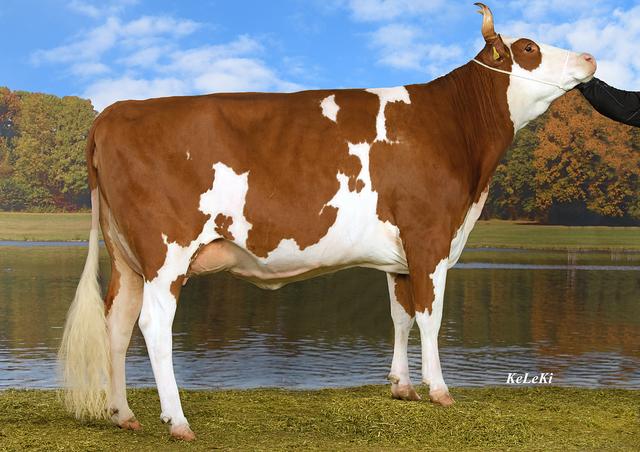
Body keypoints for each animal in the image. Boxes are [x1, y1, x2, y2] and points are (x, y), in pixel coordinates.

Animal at [58, 3, 596, 441]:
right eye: (529, 47)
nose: (591, 58)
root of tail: (115, 111)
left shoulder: (401, 255)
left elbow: (400, 314)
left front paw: (402, 386)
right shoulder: (429, 236)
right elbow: (430, 315)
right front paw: (440, 389)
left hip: (128, 258)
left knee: (116, 323)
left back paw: (123, 414)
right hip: (166, 251)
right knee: (153, 324)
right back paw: (177, 421)